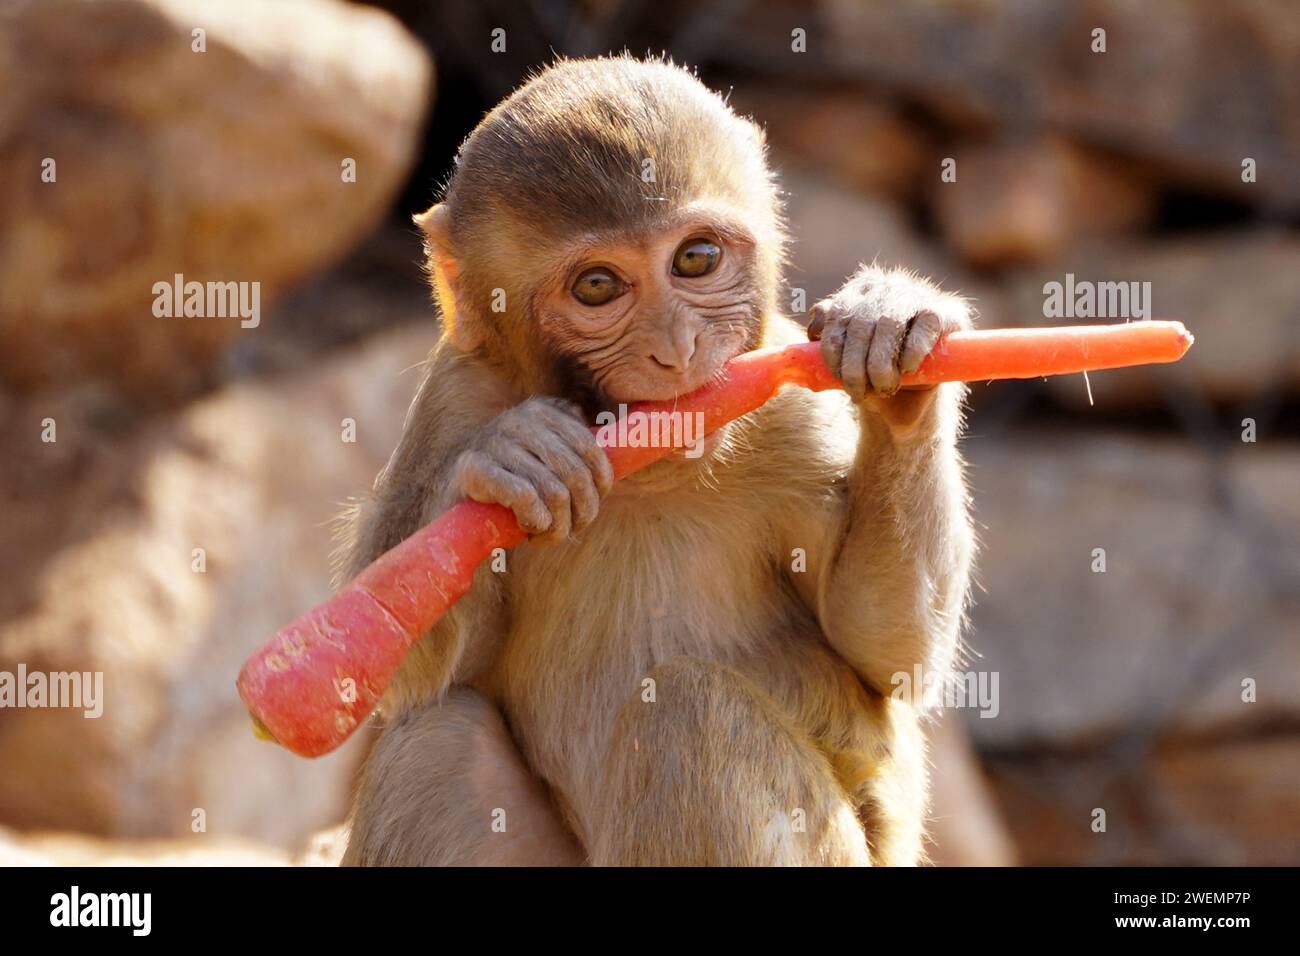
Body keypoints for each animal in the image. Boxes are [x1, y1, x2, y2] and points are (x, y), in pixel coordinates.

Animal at [337, 55, 974, 866]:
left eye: (695, 259)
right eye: (598, 286)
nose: (676, 350)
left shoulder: (797, 415)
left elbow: (886, 649)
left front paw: (894, 346)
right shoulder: (459, 394)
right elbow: (390, 668)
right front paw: (510, 459)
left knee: (684, 710)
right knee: (435, 740)